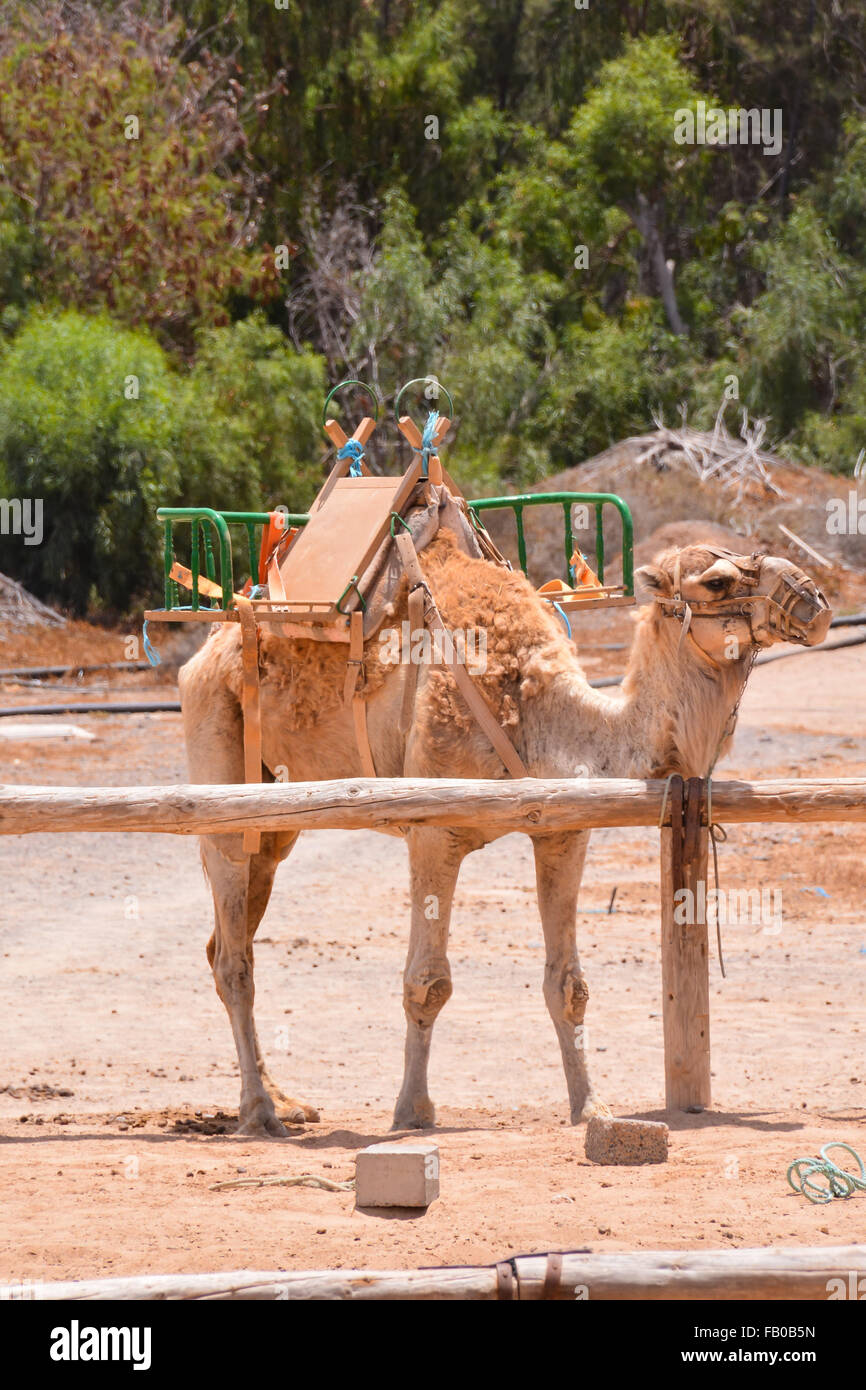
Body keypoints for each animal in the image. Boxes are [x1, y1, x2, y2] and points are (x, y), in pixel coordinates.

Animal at [178, 531, 830, 1136]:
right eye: (717, 581)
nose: (816, 601)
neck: (537, 716)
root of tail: (198, 659)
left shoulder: (566, 831)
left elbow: (569, 985)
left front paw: (591, 1106)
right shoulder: (433, 831)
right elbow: (427, 982)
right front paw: (412, 1112)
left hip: (274, 822)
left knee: (223, 943)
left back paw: (285, 1099)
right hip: (220, 767)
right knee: (234, 959)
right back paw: (261, 1112)